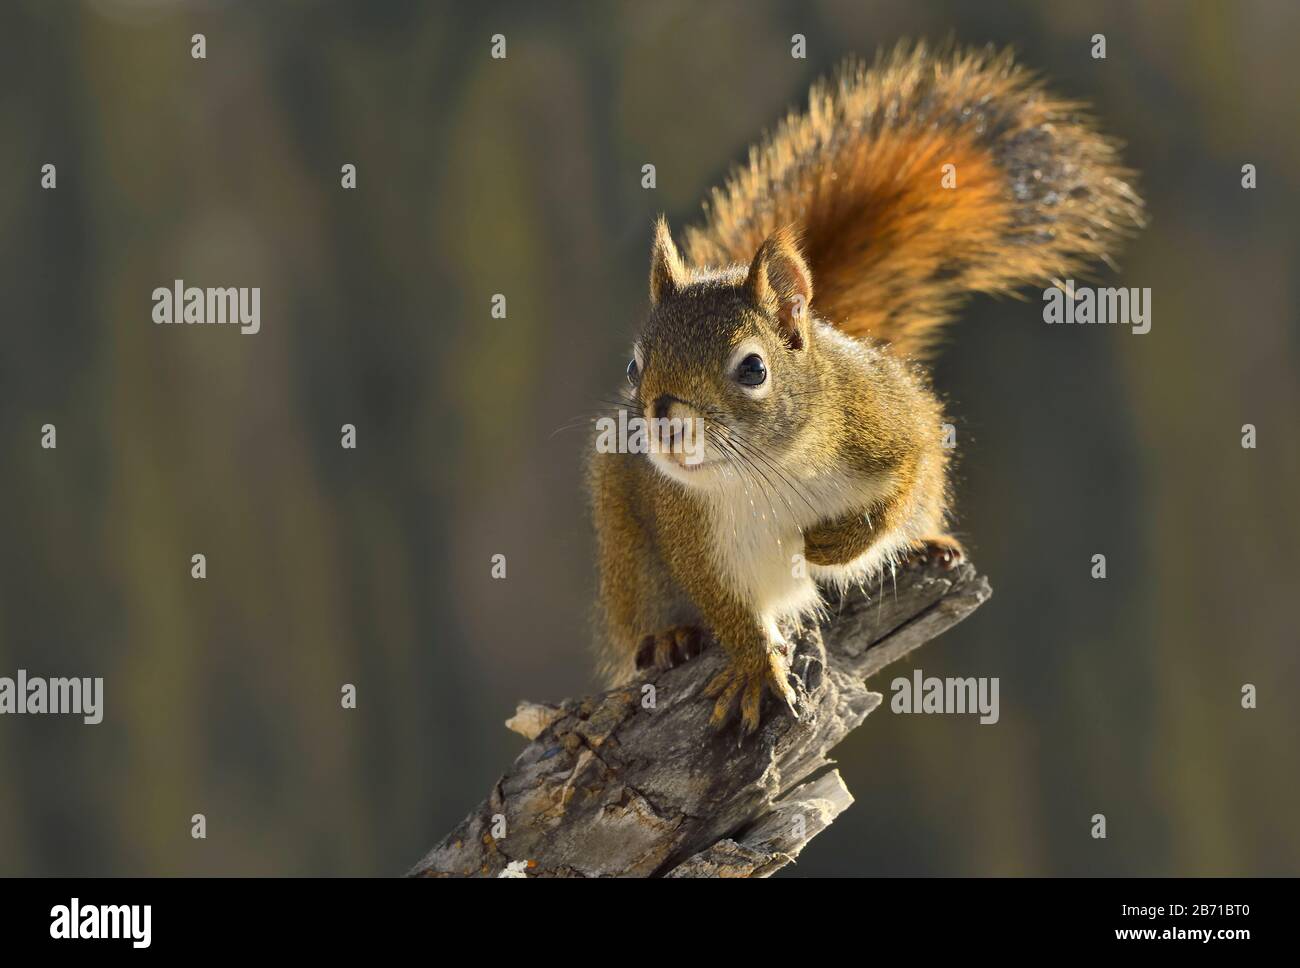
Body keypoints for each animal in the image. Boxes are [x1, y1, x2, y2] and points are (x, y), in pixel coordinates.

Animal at [588, 42, 1144, 733]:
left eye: (753, 369)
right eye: (633, 369)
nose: (663, 419)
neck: (769, 468)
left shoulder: (889, 423)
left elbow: (903, 481)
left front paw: (836, 544)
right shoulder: (690, 528)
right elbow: (729, 611)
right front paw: (754, 668)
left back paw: (922, 544)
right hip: (626, 547)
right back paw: (668, 637)